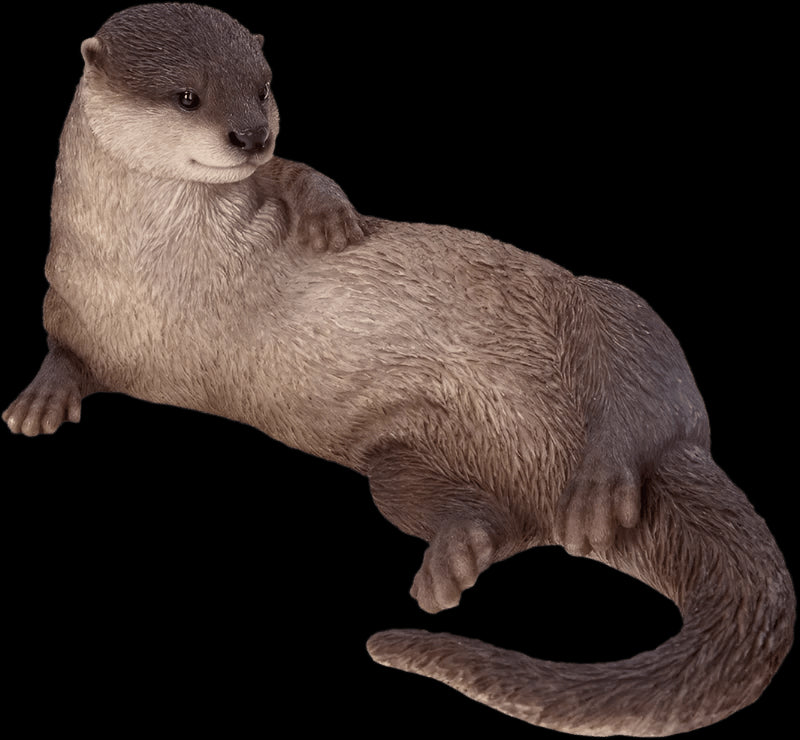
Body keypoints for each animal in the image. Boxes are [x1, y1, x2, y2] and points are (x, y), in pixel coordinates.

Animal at [3, 3, 794, 736]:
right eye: (188, 96)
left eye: (263, 87)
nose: (251, 135)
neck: (170, 266)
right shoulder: (74, 304)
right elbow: (67, 354)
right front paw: (38, 402)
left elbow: (303, 174)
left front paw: (330, 220)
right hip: (406, 457)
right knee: (495, 521)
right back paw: (459, 551)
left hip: (606, 314)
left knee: (651, 389)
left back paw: (600, 486)